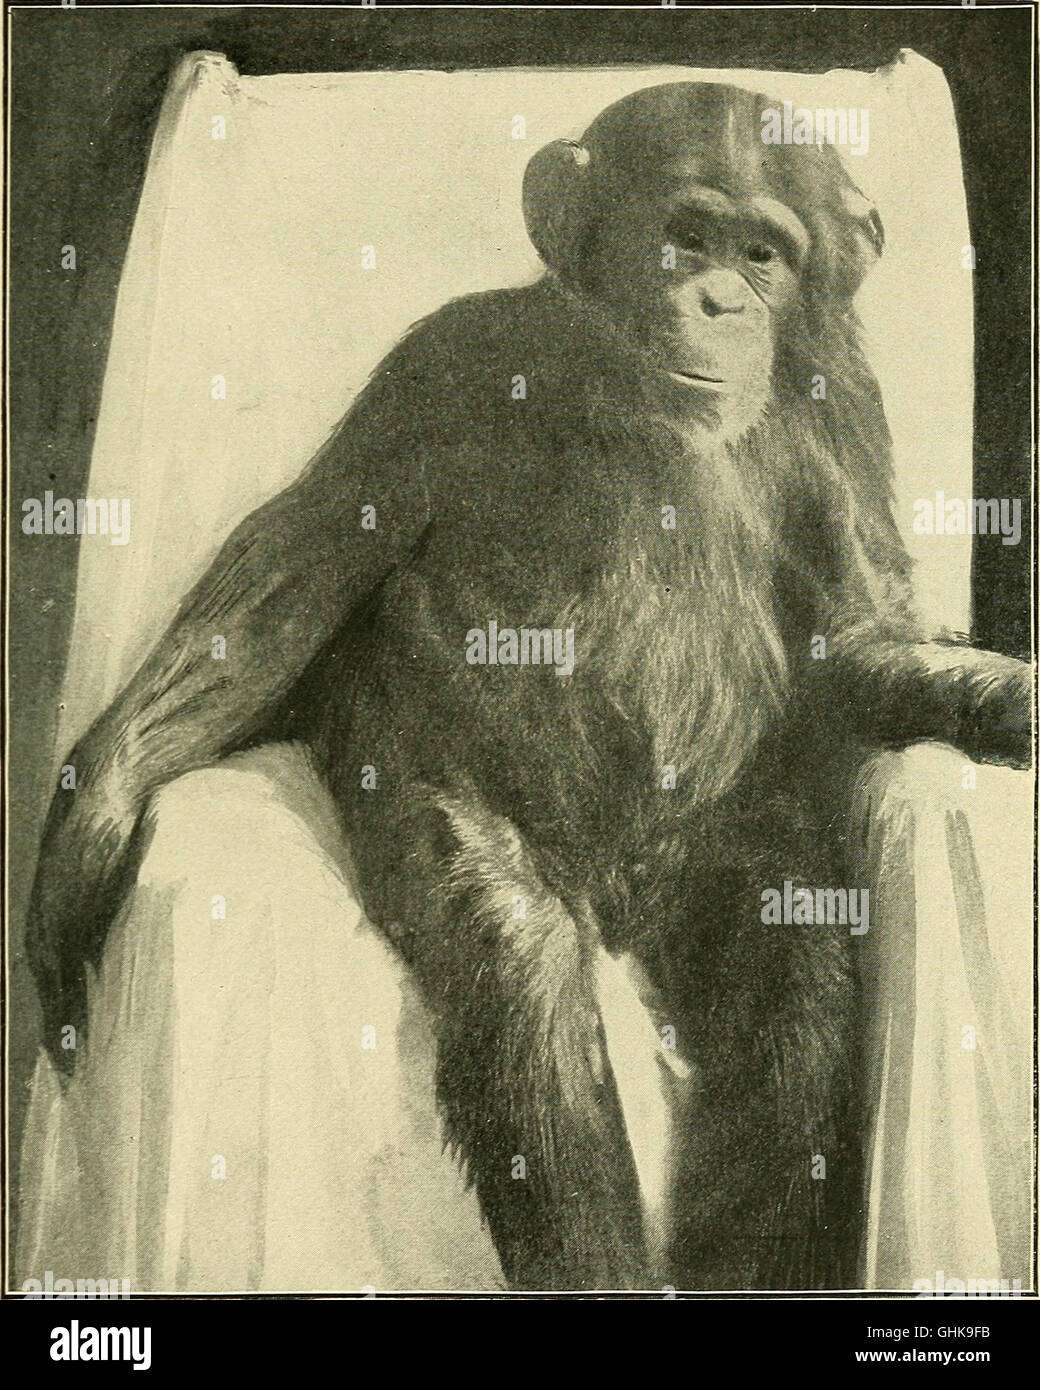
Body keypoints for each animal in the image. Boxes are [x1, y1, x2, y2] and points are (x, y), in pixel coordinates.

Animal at [25, 82, 1032, 1292]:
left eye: (764, 254)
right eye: (686, 234)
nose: (720, 300)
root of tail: (620, 900)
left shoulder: (846, 410)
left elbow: (863, 627)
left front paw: (997, 696)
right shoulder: (441, 366)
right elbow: (303, 560)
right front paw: (92, 814)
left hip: (727, 842)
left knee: (797, 1004)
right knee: (523, 978)